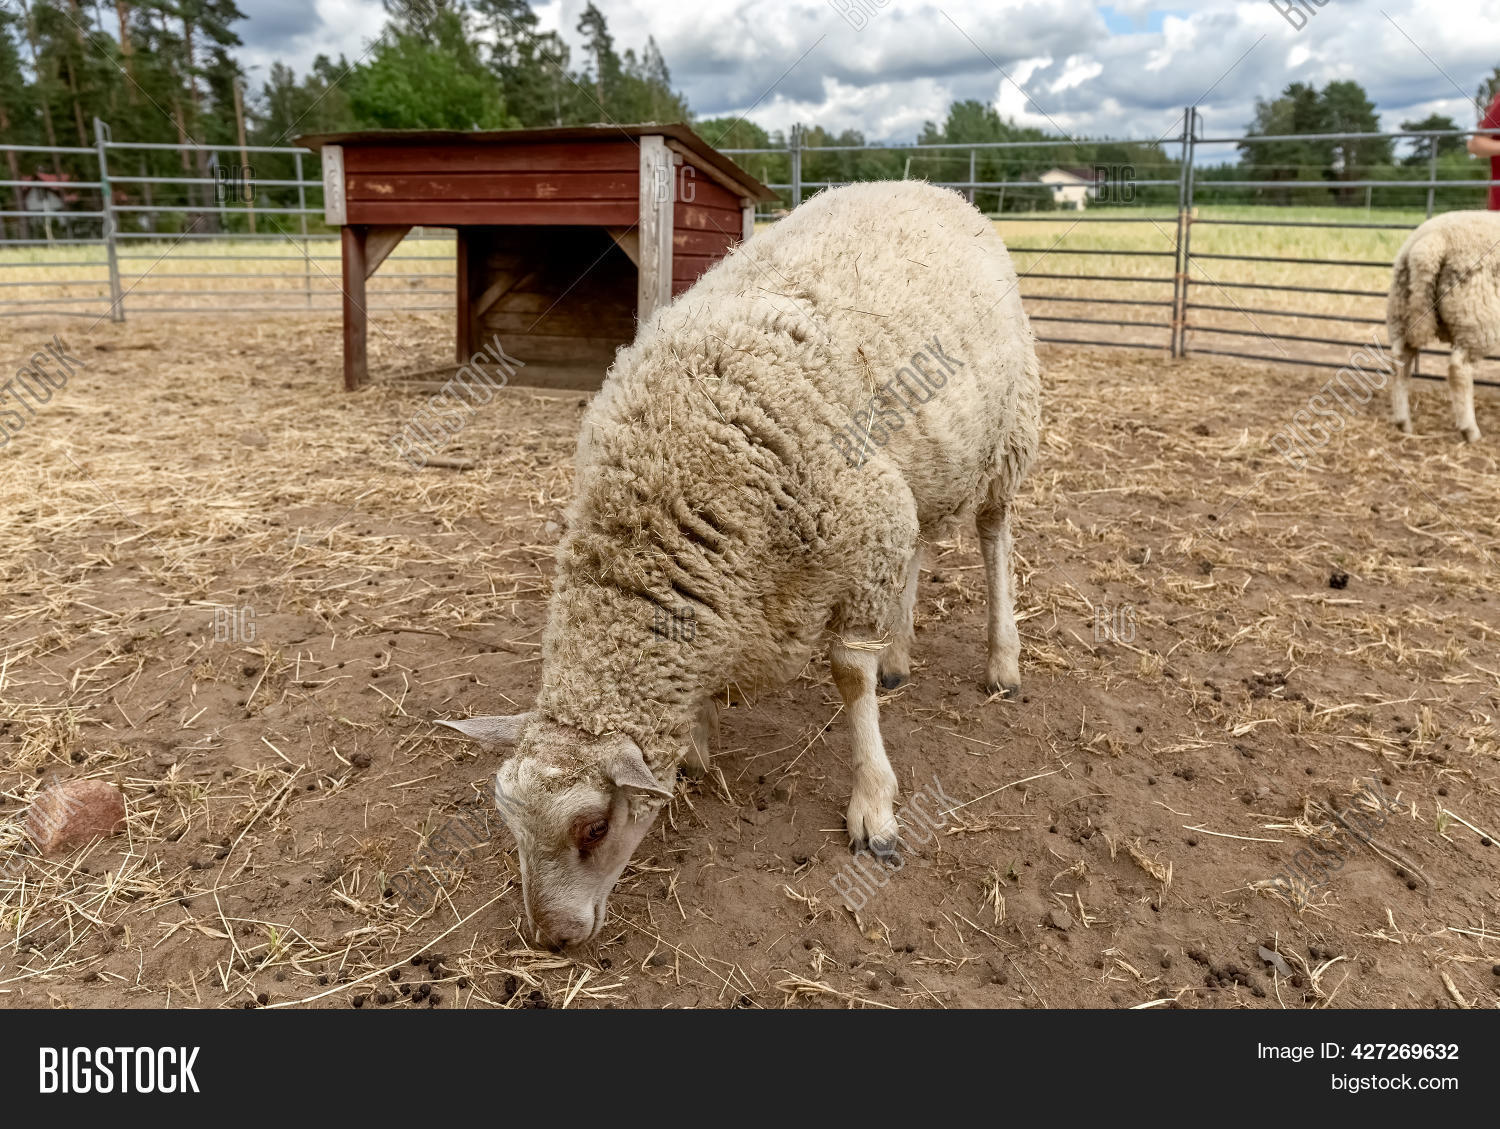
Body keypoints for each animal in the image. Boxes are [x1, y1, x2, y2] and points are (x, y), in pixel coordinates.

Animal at [439, 180, 1041, 949]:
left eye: (594, 828)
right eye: (508, 823)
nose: (553, 937)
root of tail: (926, 186)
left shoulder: (860, 520)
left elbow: (850, 676)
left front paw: (874, 809)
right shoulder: (850, 532)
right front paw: (697, 746)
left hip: (1006, 434)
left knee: (994, 536)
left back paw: (1002, 662)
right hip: (924, 470)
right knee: (919, 547)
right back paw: (902, 652)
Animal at [1386, 209, 1500, 442]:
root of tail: (1432, 240)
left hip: (1401, 307)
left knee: (1400, 361)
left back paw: (1403, 422)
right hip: (1478, 317)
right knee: (1459, 369)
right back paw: (1471, 431)